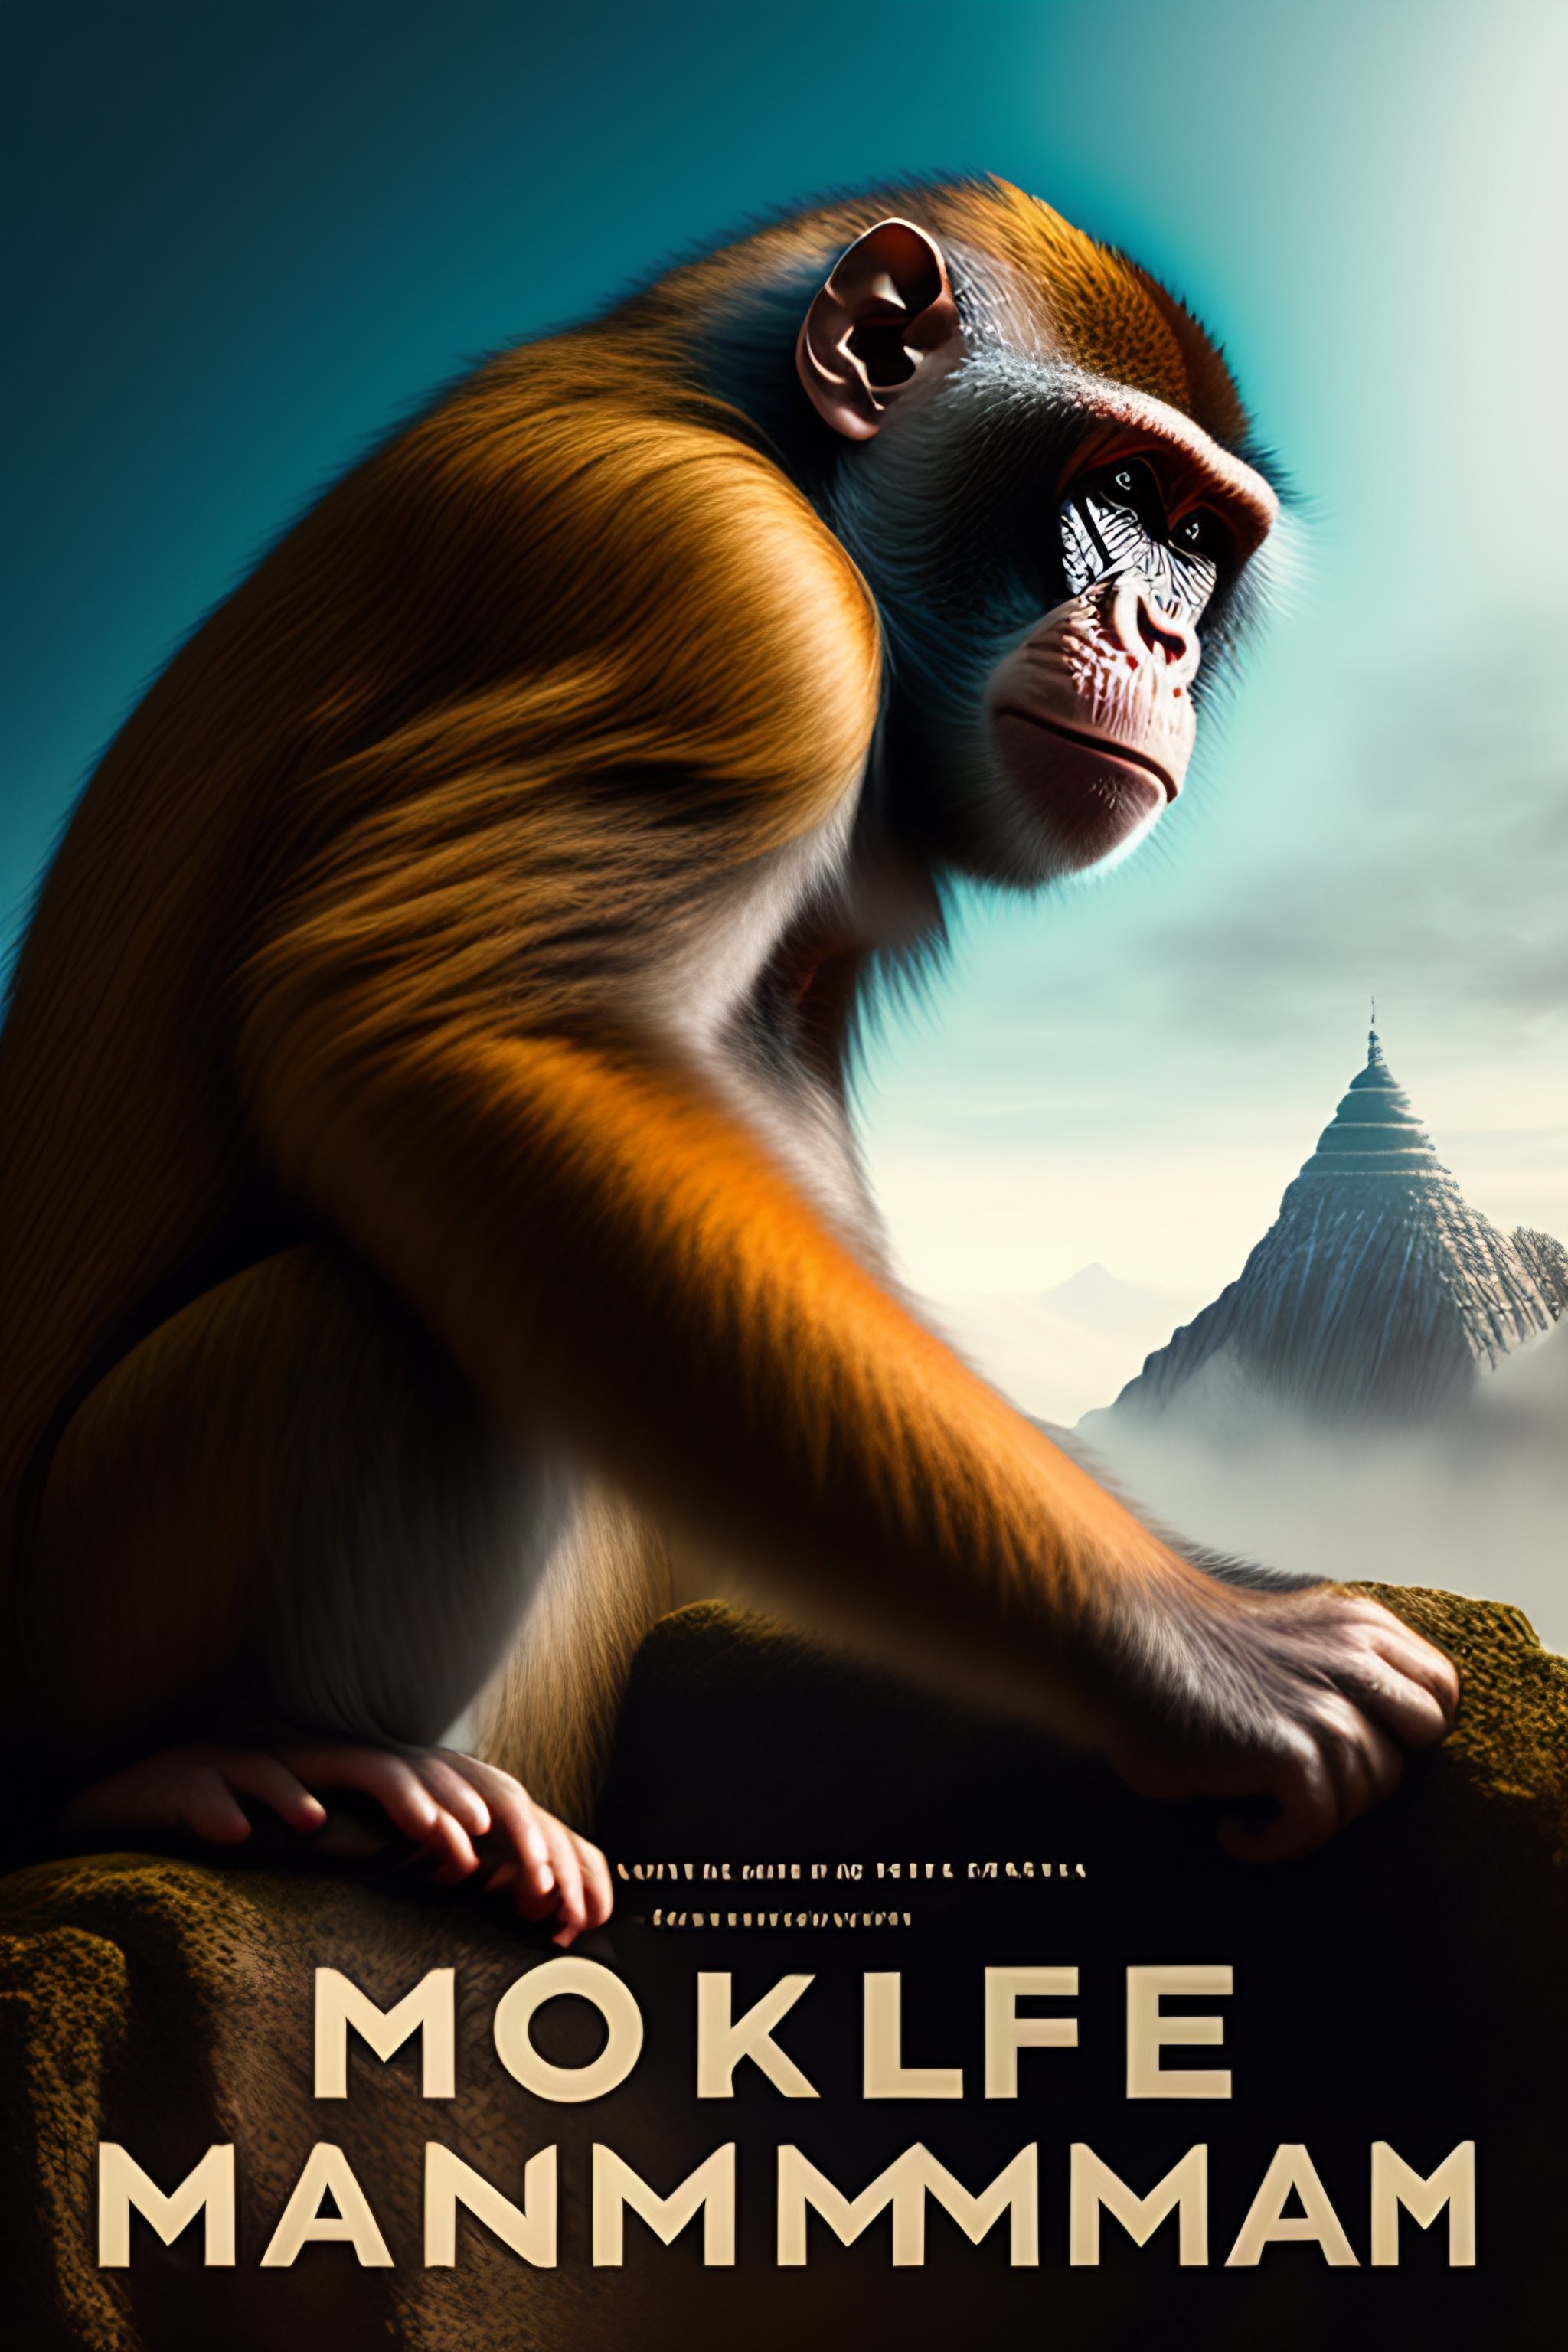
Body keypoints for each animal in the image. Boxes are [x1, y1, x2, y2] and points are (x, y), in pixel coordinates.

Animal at [0, 179, 1458, 1939]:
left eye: (1200, 538)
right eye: (1120, 493)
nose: (1161, 639)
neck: (744, 414)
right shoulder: (721, 587)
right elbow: (459, 1047)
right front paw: (1203, 1654)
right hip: (81, 1612)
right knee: (386, 1316)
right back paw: (221, 1761)